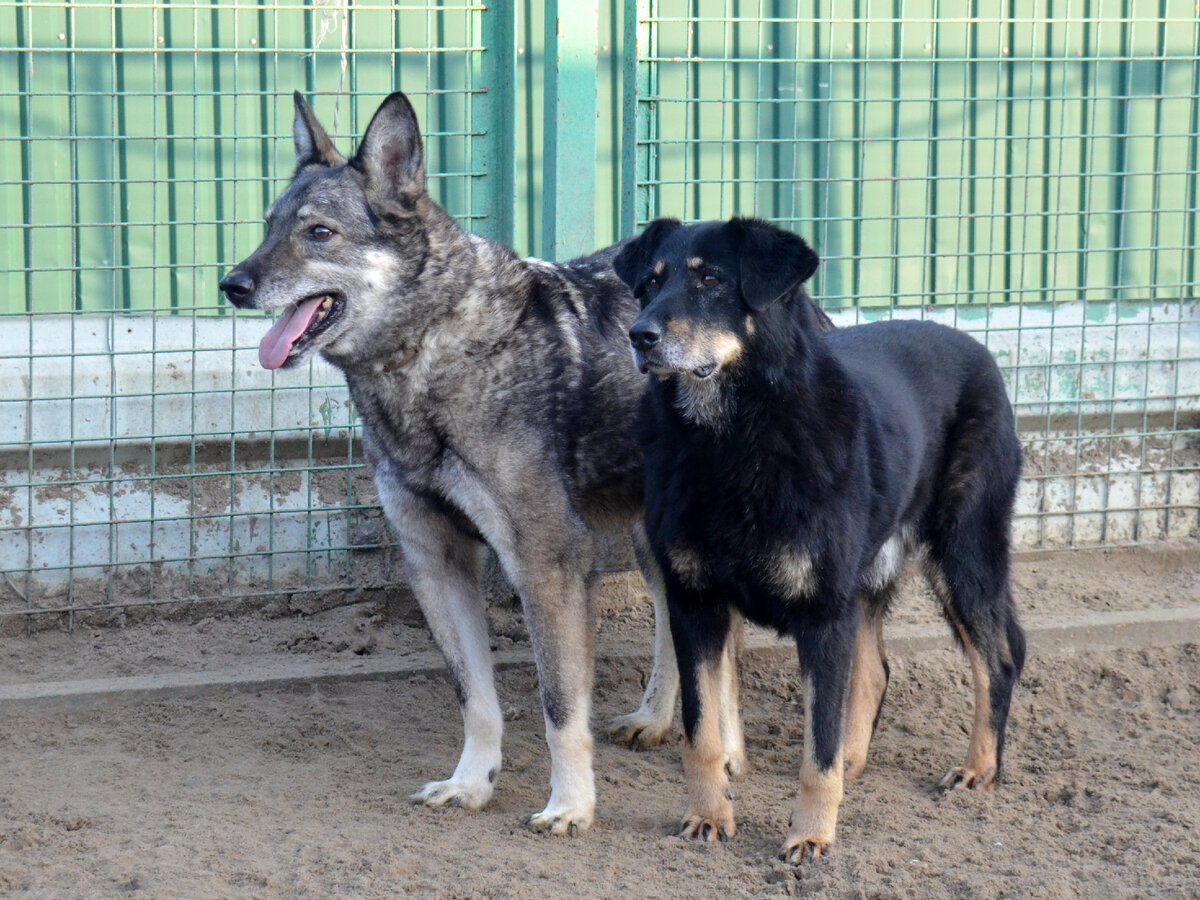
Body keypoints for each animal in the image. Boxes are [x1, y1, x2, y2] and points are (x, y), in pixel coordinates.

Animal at [217, 93, 744, 840]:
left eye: (319, 232)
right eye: (267, 228)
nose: (231, 283)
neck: (426, 353)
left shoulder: (547, 566)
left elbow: (560, 710)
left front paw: (571, 805)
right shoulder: (436, 563)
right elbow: (477, 701)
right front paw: (472, 784)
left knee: (724, 653)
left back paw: (726, 753)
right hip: (652, 546)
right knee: (681, 629)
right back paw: (656, 719)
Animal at [614, 218, 1027, 868]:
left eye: (711, 280)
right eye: (650, 283)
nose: (640, 336)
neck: (732, 442)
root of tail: (977, 347)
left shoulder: (821, 615)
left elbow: (817, 749)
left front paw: (811, 835)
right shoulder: (696, 606)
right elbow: (702, 733)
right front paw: (708, 818)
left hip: (964, 555)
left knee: (999, 660)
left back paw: (978, 770)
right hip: (871, 577)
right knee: (875, 671)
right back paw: (857, 764)